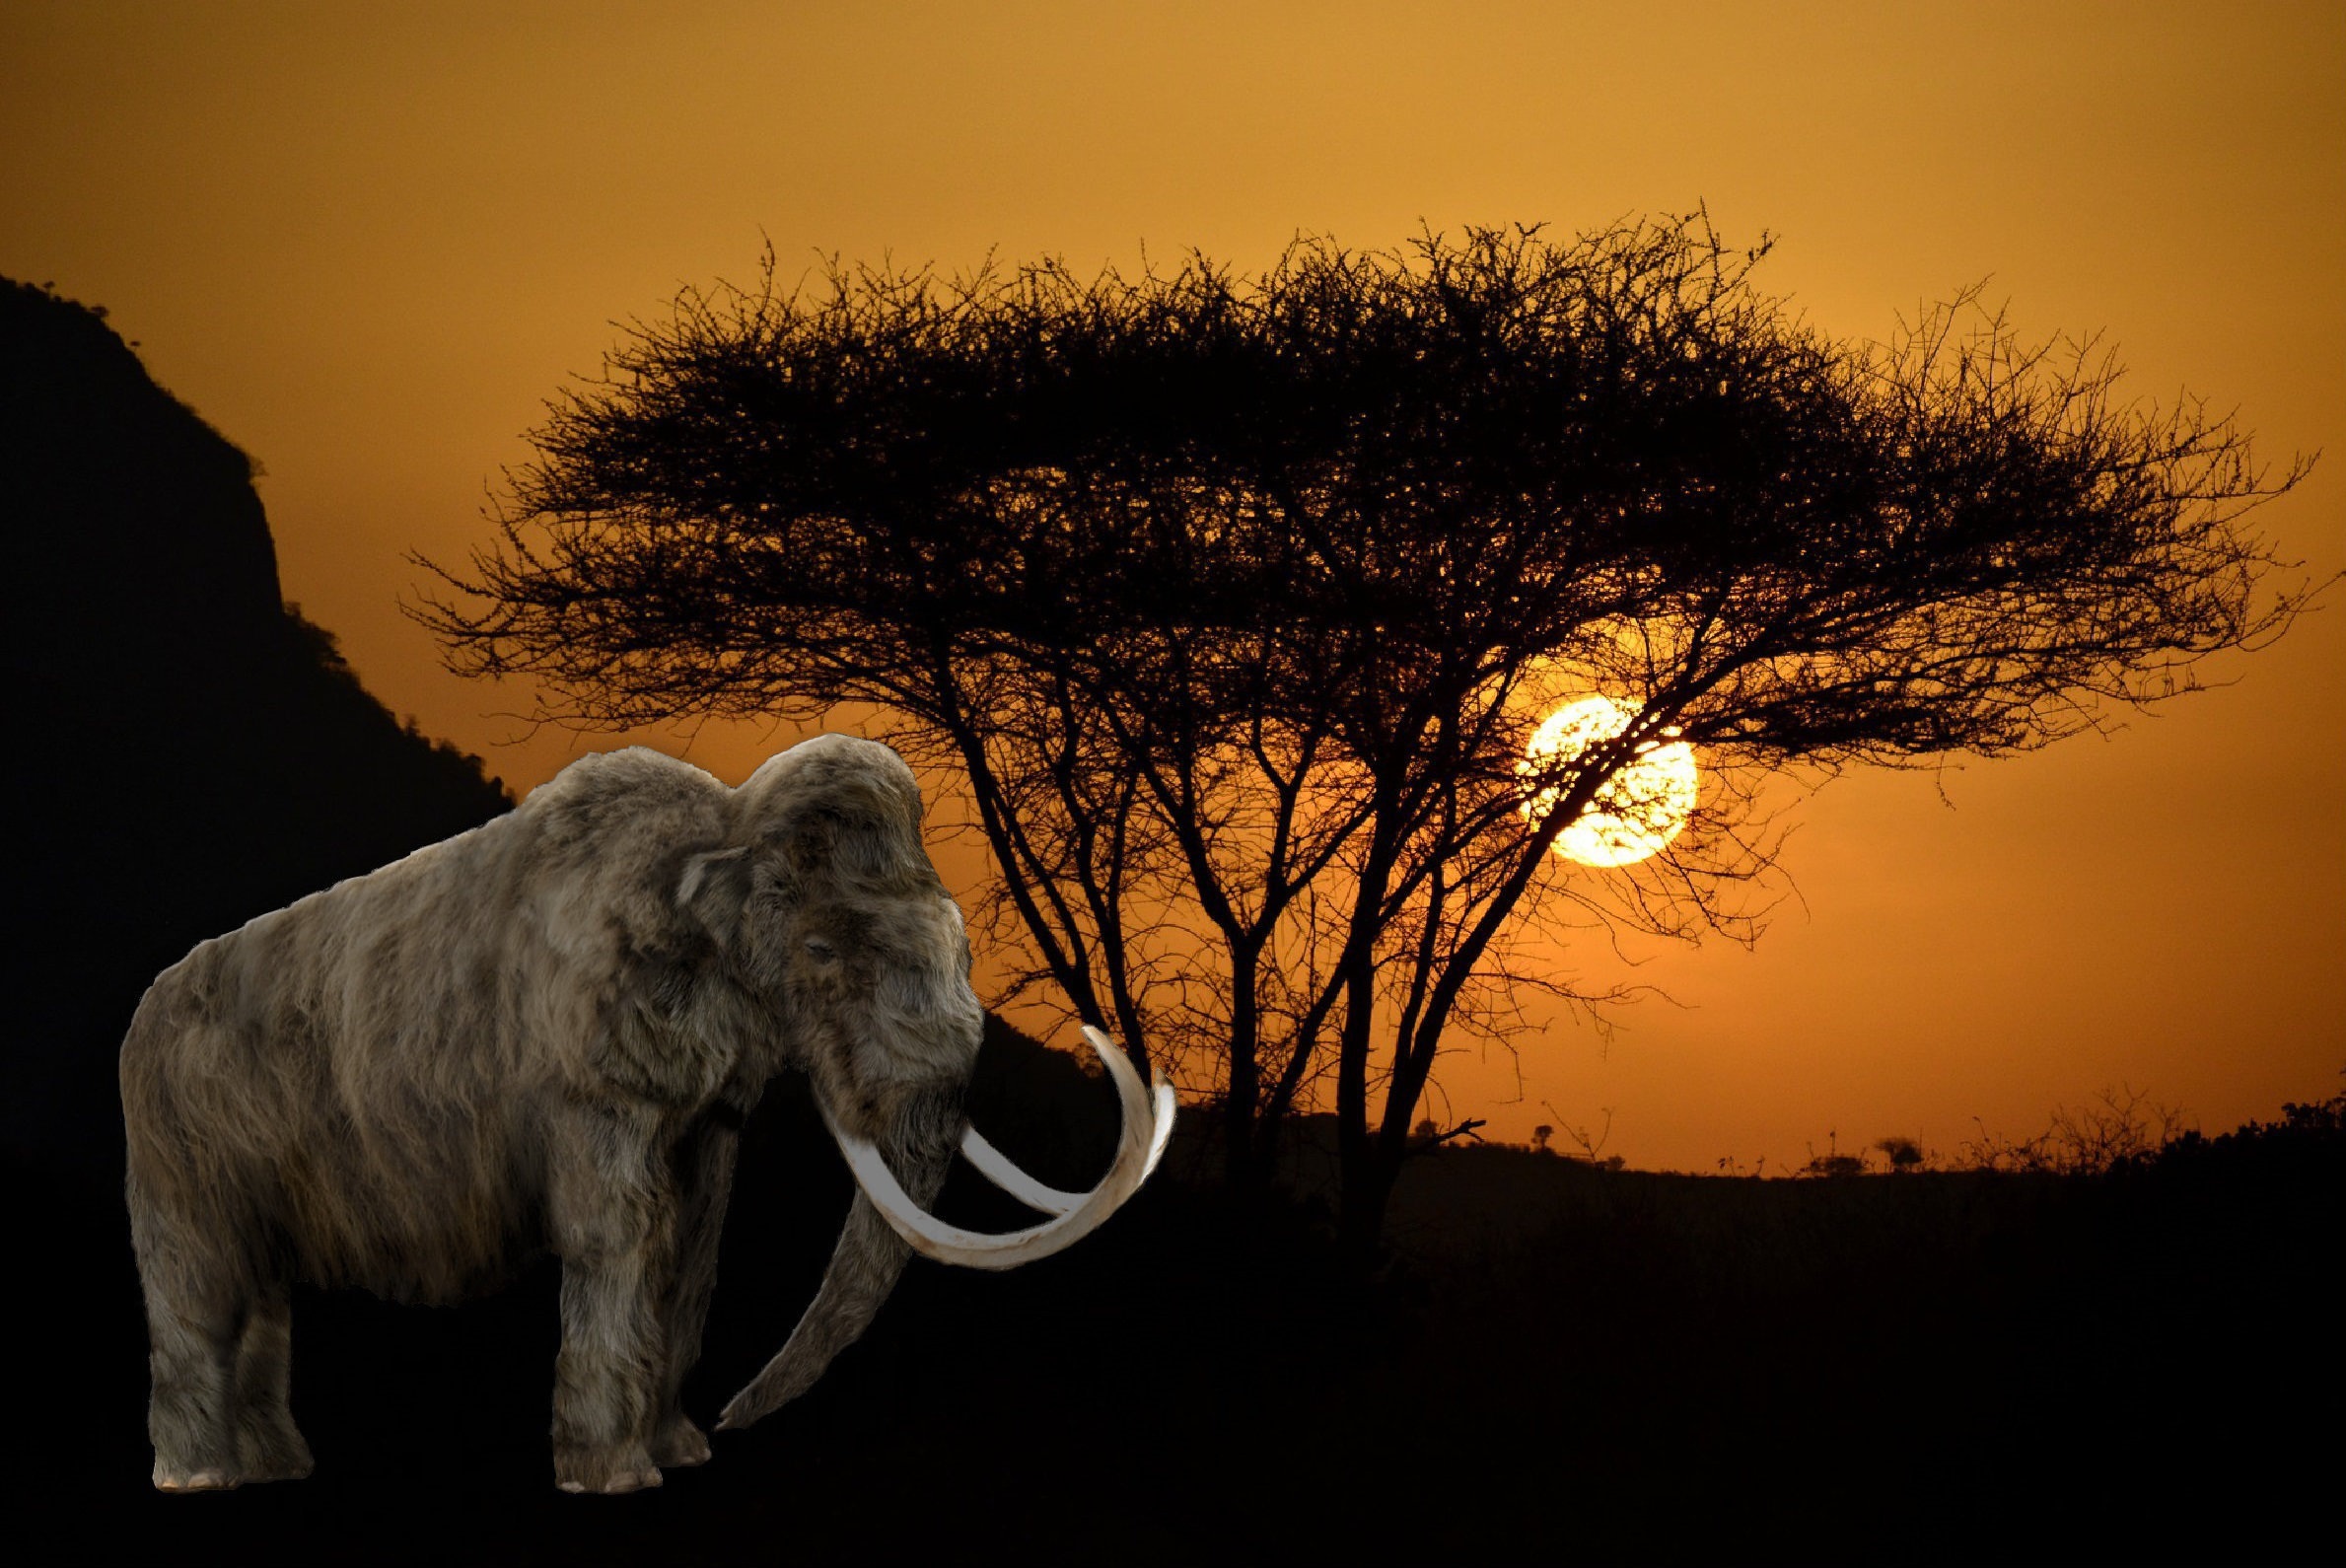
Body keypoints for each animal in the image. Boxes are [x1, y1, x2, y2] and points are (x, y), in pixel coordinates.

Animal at [118, 733, 1172, 1494]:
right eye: (822, 954)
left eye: (963, 949)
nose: (735, 1420)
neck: (725, 824)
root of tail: (139, 1016)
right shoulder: (591, 1073)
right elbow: (623, 1230)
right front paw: (617, 1481)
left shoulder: (707, 1104)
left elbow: (694, 1240)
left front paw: (682, 1456)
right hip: (173, 1152)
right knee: (200, 1293)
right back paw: (198, 1478)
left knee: (259, 1297)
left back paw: (276, 1468)